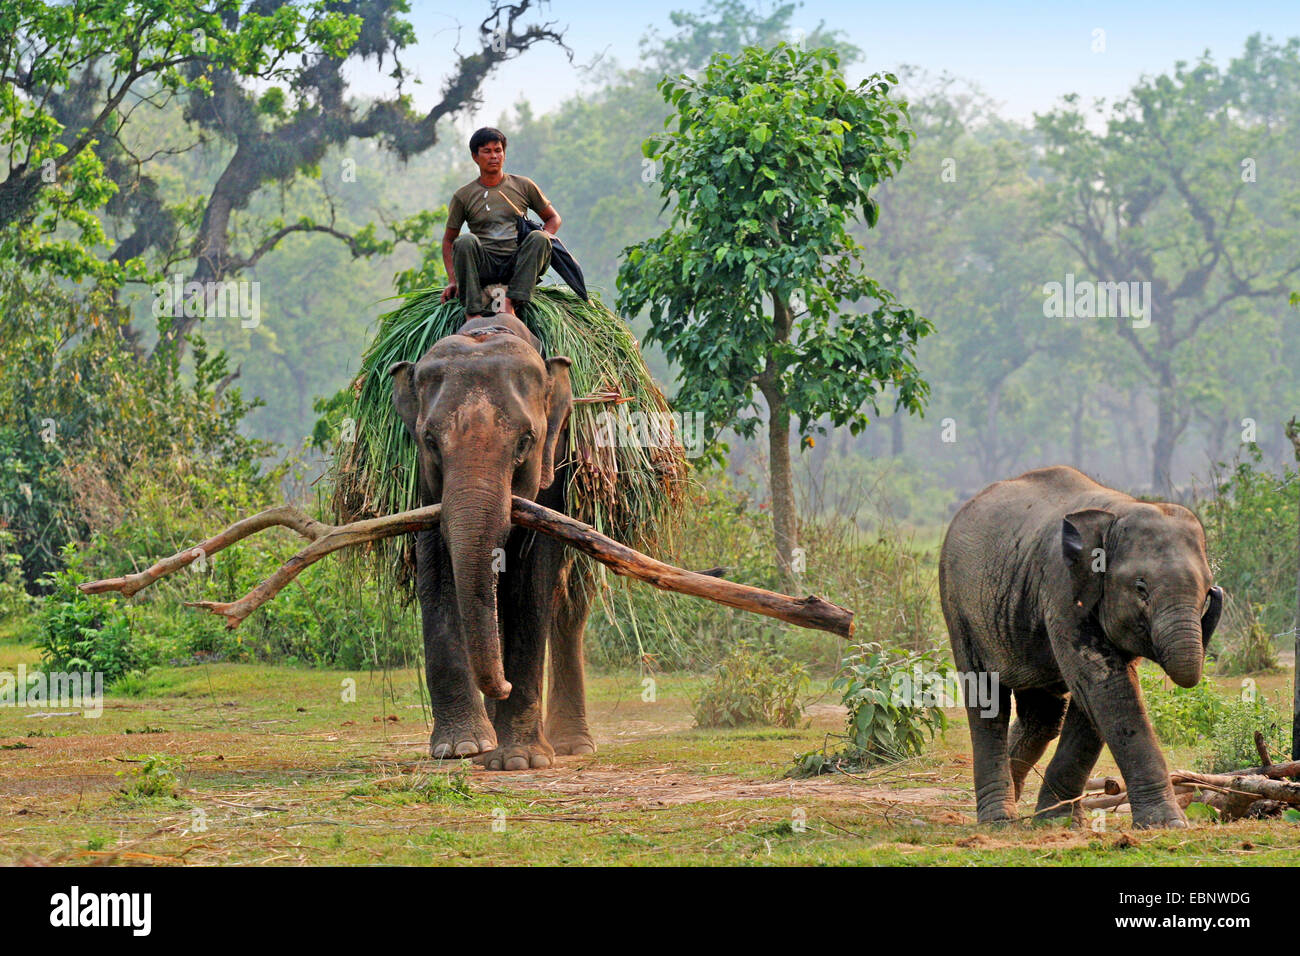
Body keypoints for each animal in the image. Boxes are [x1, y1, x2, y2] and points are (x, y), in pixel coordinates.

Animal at [388, 312, 596, 770]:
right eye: (430, 441)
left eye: (525, 442)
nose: (502, 685)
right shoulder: (426, 487)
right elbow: (437, 567)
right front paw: (462, 748)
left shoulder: (553, 471)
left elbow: (531, 580)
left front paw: (519, 760)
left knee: (570, 604)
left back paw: (572, 746)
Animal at [938, 465, 1223, 828]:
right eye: (1140, 588)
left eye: (1206, 587)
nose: (1217, 591)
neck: (1117, 510)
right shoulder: (1061, 587)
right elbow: (1103, 686)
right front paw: (1166, 824)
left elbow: (1097, 699)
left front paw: (1058, 821)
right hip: (958, 606)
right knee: (987, 701)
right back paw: (999, 819)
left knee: (1043, 716)